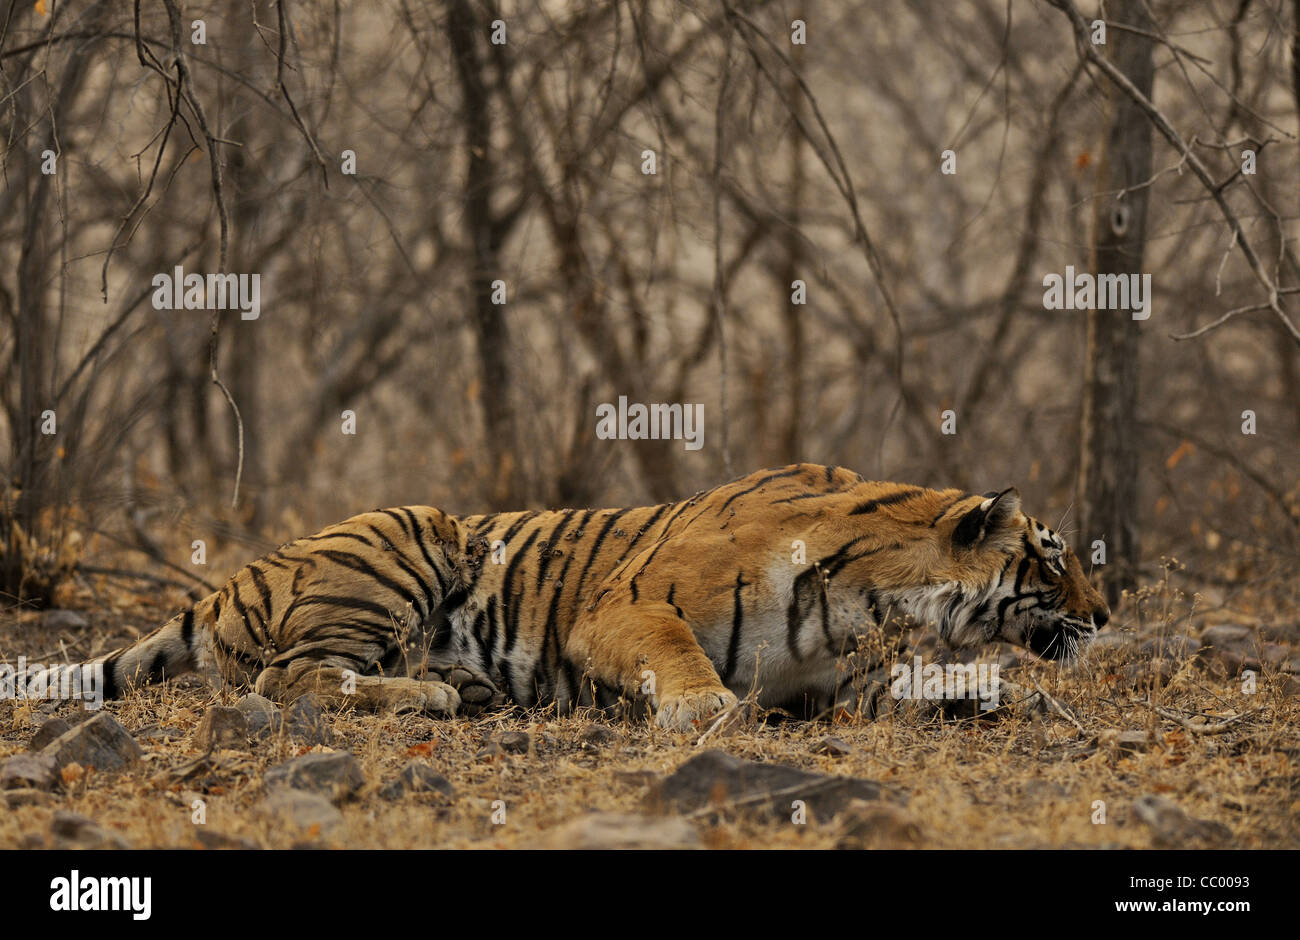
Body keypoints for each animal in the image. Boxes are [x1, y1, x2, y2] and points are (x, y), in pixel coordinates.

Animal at [80, 463, 1108, 731]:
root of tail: (226, 583)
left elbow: (936, 689)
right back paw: (431, 692)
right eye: (1055, 558)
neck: (881, 598)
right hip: (408, 531)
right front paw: (703, 709)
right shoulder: (627, 606)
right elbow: (681, 659)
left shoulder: (841, 685)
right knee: (290, 679)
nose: (1105, 616)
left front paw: (1015, 698)